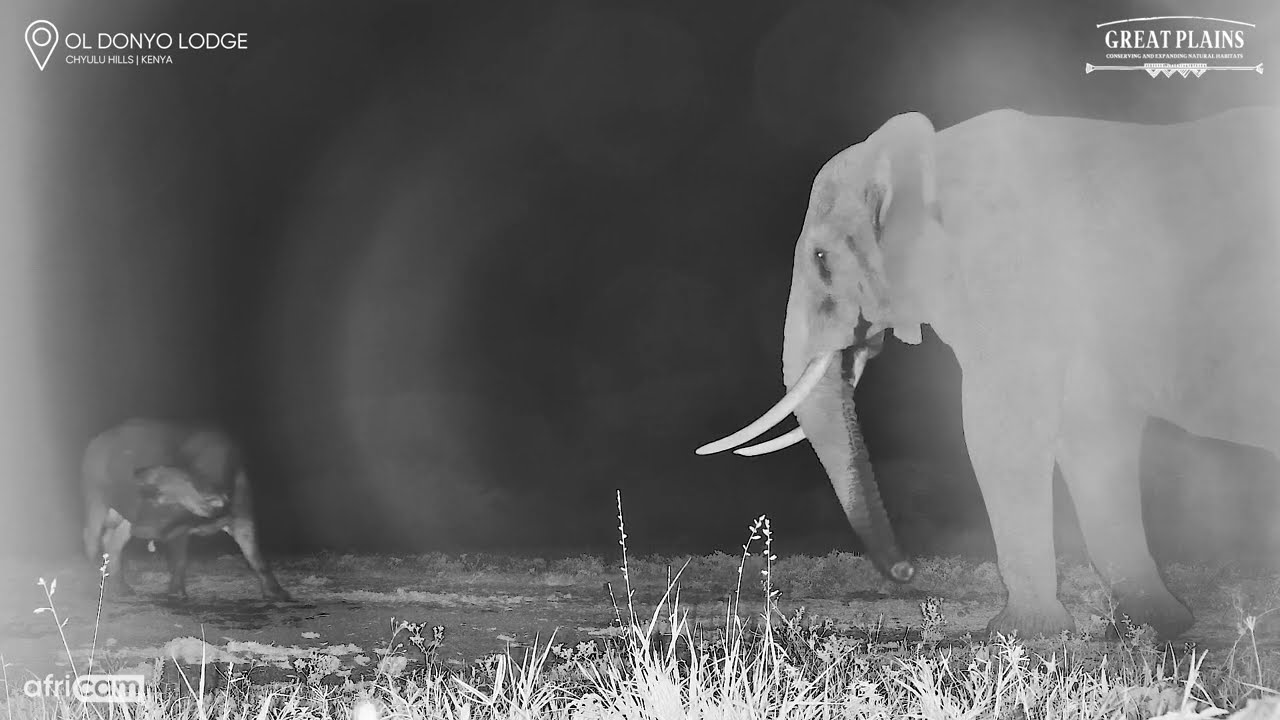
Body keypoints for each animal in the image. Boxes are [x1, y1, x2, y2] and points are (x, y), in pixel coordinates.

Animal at [83, 418, 292, 601]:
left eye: (163, 501)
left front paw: (277, 592)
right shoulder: (177, 531)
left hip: (123, 519)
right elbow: (179, 561)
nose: (141, 529)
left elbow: (256, 557)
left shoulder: (243, 518)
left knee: (112, 545)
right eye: (151, 495)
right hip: (95, 502)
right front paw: (176, 593)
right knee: (91, 538)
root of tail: (96, 442)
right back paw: (92, 581)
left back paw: (122, 588)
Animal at [698, 106, 1279, 639]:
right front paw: (1161, 624)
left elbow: (999, 429)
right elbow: (1091, 432)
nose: (906, 572)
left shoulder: (1013, 276)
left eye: (821, 257)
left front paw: (1018, 634)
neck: (932, 153)